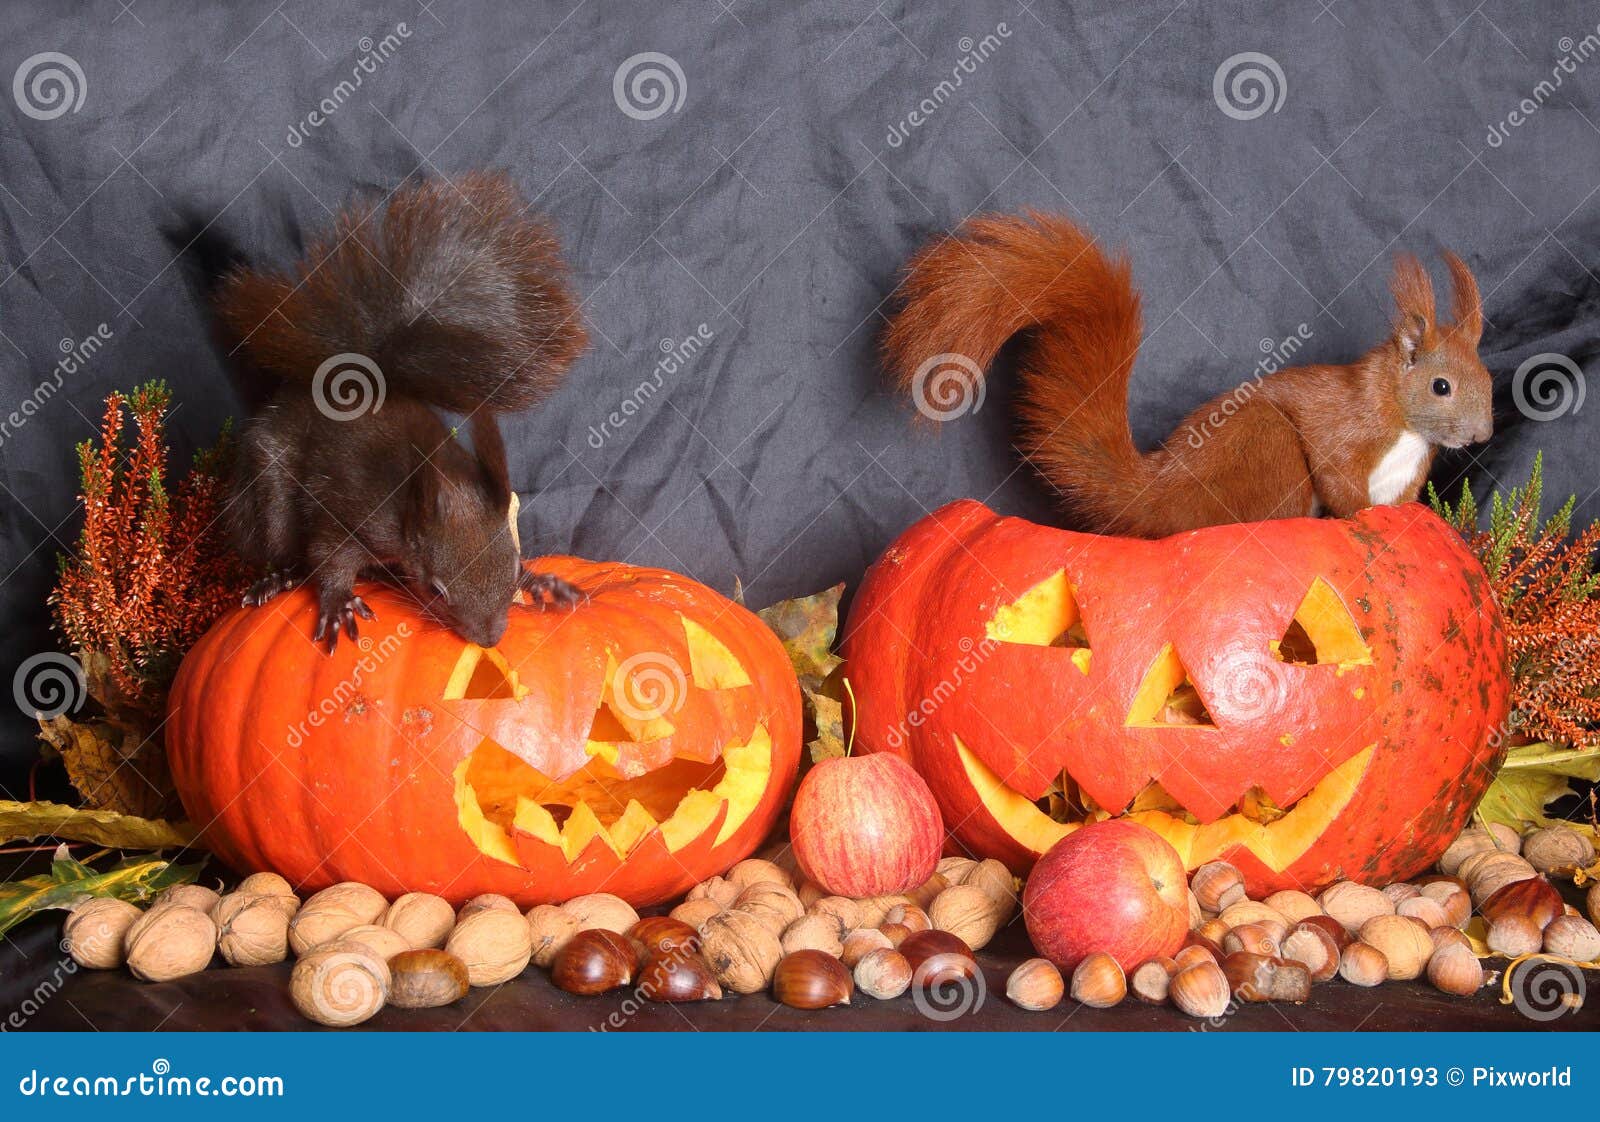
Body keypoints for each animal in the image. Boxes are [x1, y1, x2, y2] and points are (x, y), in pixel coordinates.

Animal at [215, 172, 588, 651]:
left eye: (510, 570)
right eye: (436, 589)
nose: (488, 640)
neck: (423, 492)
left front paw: (541, 581)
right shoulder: (351, 511)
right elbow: (329, 556)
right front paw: (337, 602)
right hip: (268, 498)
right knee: (283, 546)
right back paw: (276, 578)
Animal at [882, 211, 1493, 537]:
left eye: (1489, 382)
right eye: (1441, 386)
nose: (1482, 435)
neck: (1405, 425)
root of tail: (1161, 494)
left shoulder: (1407, 478)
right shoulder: (1344, 430)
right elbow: (1338, 477)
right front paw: (1362, 519)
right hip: (1267, 444)